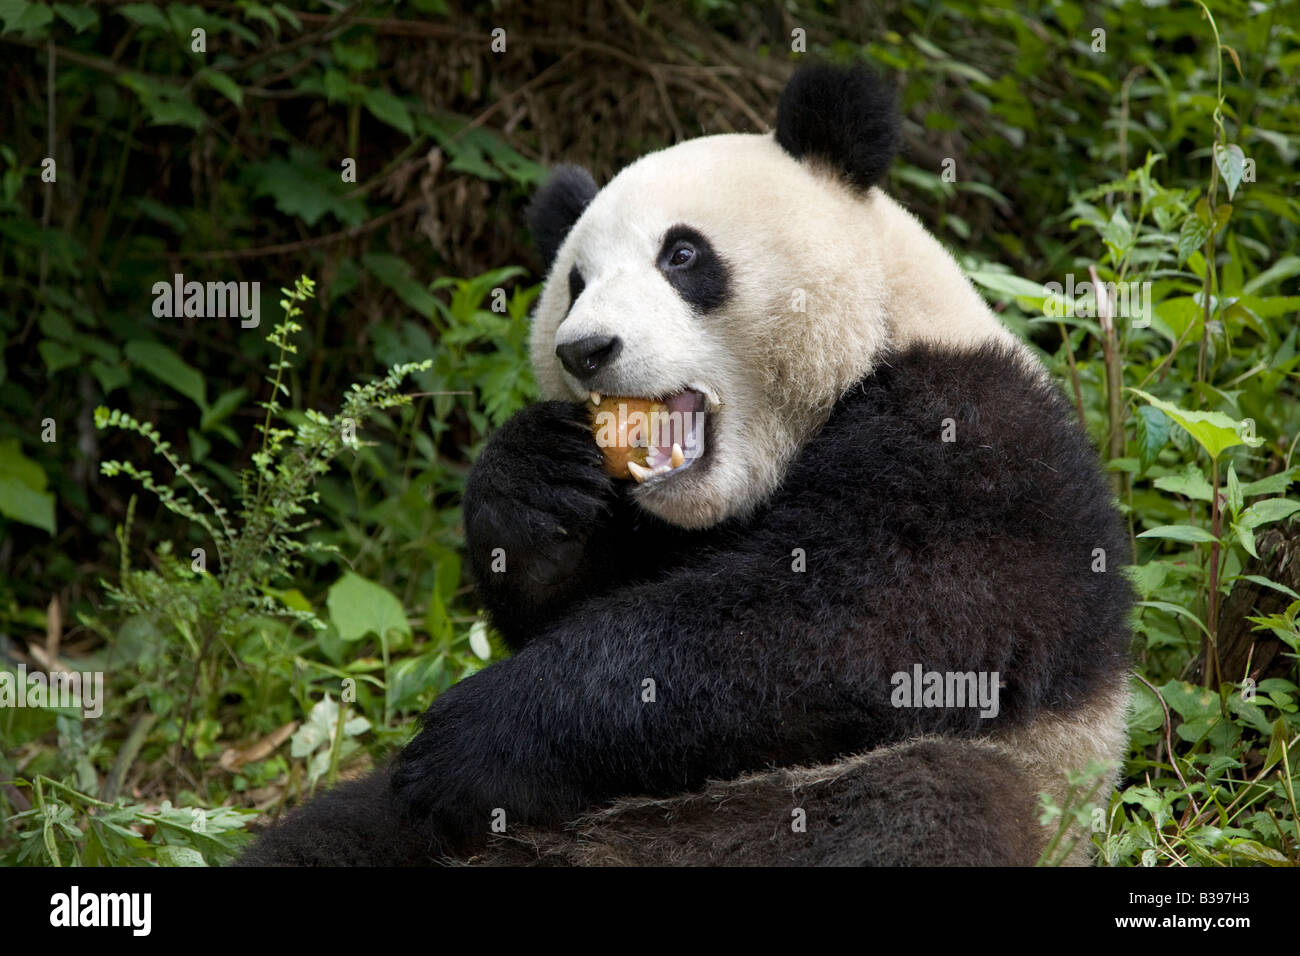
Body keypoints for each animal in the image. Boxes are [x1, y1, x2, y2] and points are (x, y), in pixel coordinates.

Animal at [238, 63, 1133, 867]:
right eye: (574, 283)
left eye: (682, 255)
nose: (586, 350)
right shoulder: (655, 527)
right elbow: (569, 594)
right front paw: (533, 477)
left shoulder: (975, 441)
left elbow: (860, 622)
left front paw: (476, 740)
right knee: (336, 835)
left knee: (925, 806)